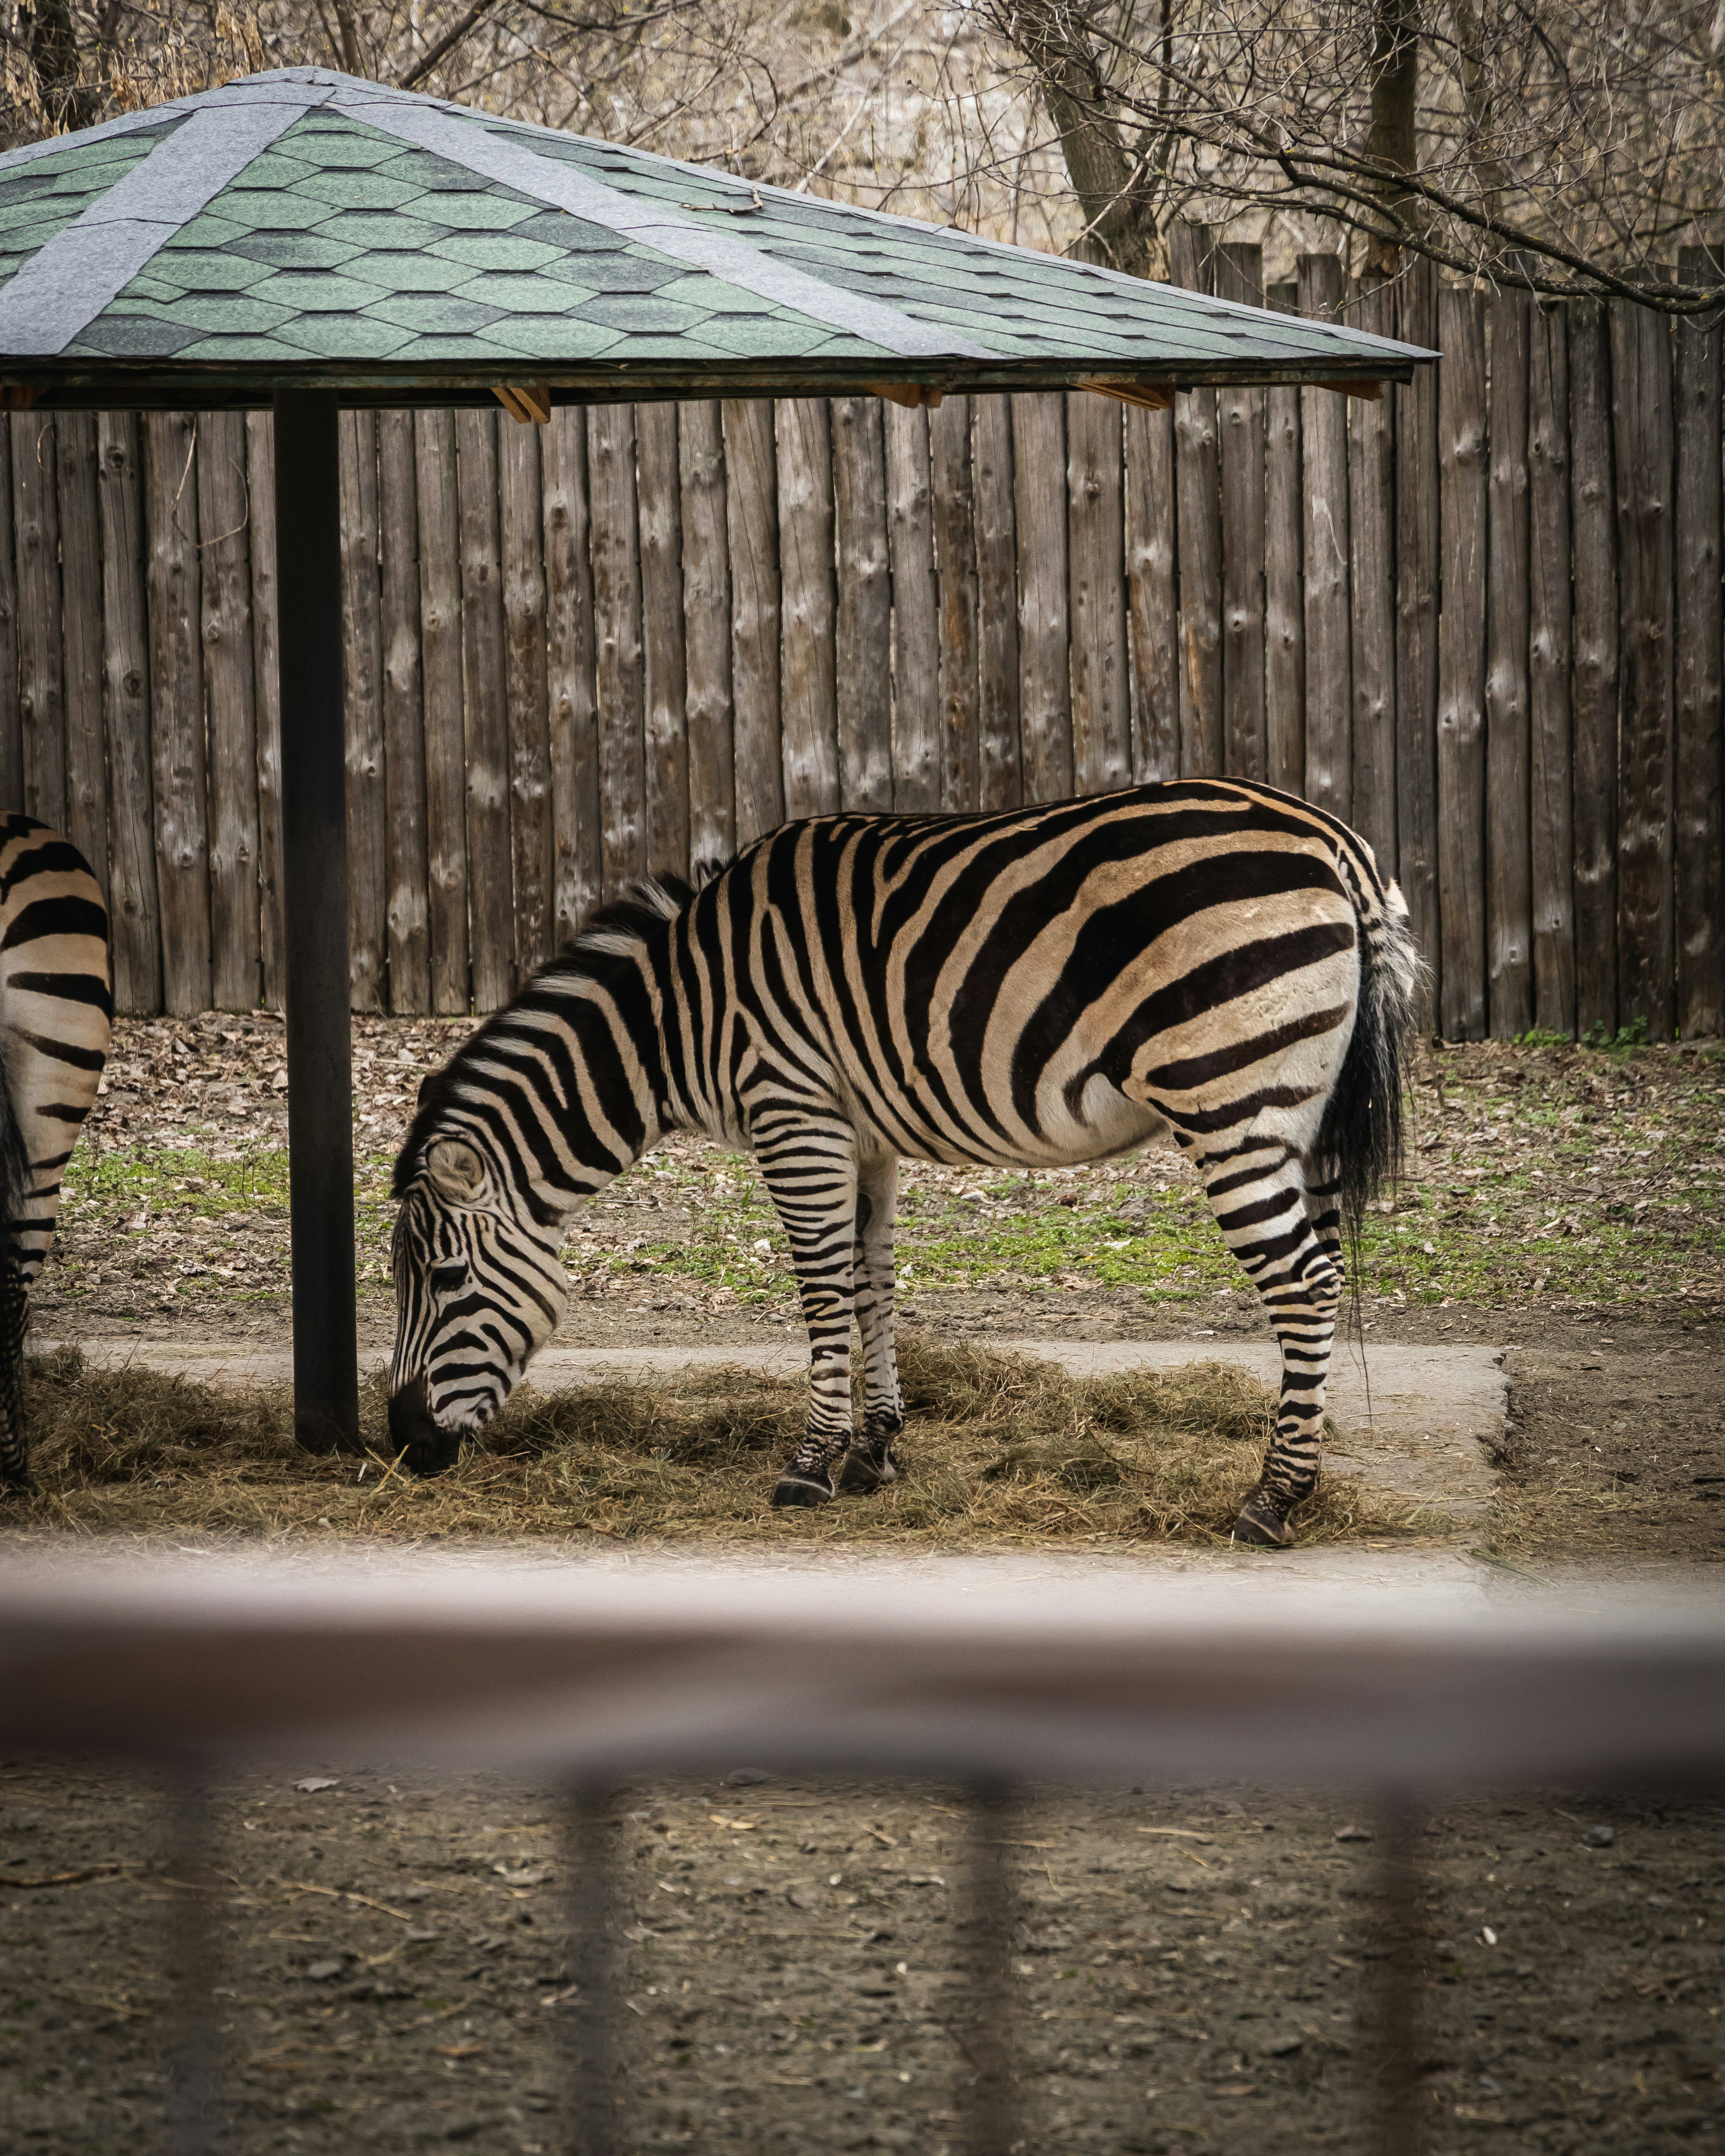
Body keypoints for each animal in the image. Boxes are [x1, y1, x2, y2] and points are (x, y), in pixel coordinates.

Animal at [389, 780, 1418, 1547]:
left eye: (444, 1279)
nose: (402, 1448)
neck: (680, 1013)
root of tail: (1337, 845)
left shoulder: (792, 1110)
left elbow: (819, 1286)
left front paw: (810, 1465)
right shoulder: (865, 1133)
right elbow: (871, 1279)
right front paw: (875, 1450)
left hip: (1226, 1102)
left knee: (1303, 1285)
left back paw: (1271, 1501)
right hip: (1304, 1118)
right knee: (1324, 1274)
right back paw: (1304, 1480)